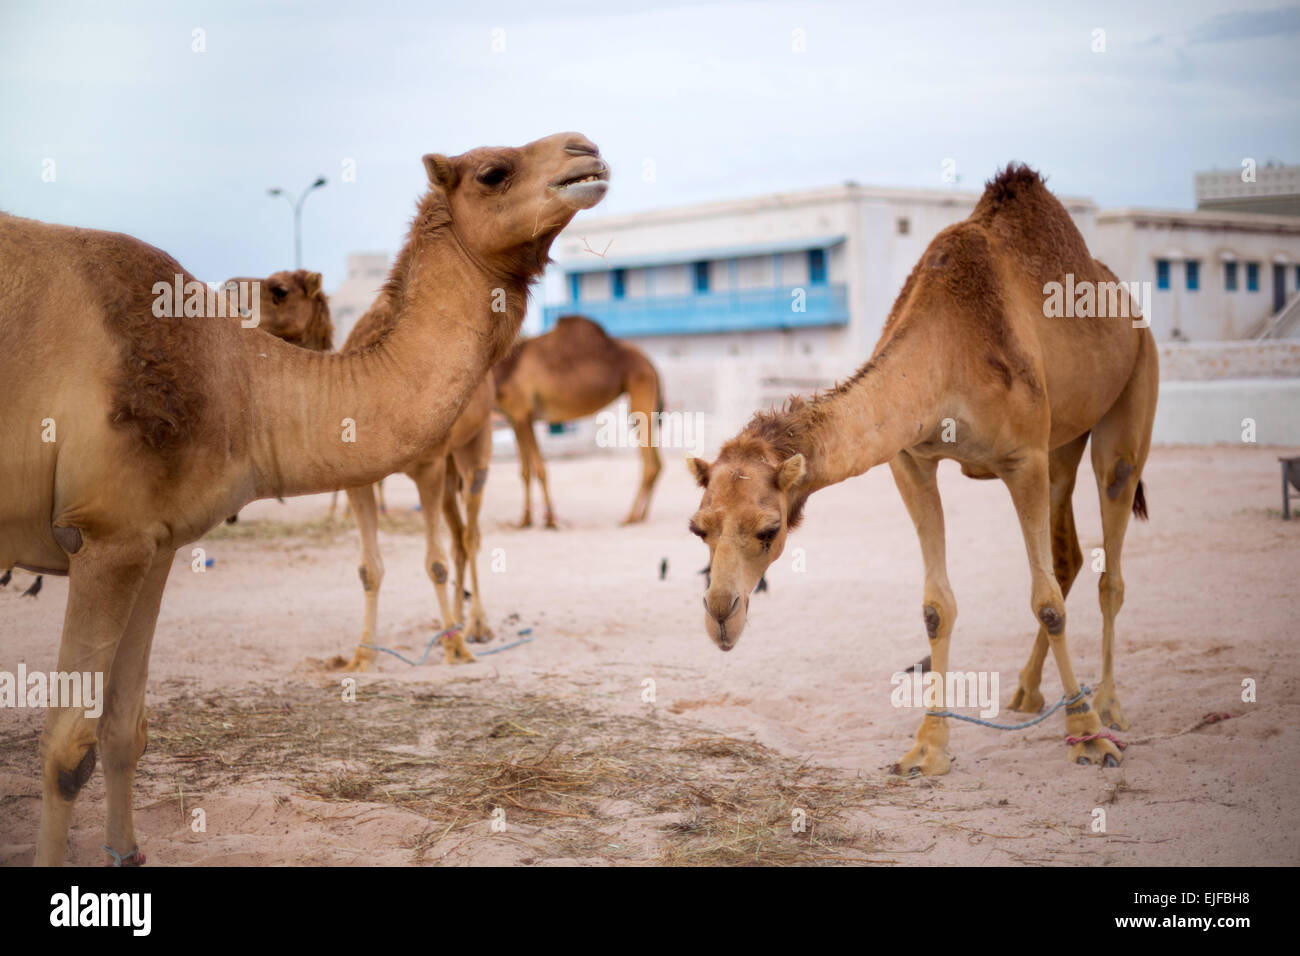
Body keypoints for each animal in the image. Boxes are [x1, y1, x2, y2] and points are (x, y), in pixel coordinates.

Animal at [0, 131, 609, 865]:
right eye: (493, 172)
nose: (586, 149)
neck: (238, 388)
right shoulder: (109, 537)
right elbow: (71, 744)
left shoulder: (148, 543)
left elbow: (125, 727)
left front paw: (127, 854)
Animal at [494, 314, 663, 527]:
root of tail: (650, 364)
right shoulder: (515, 419)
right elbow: (524, 472)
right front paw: (524, 521)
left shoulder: (523, 413)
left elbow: (539, 469)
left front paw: (550, 521)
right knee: (658, 463)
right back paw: (641, 515)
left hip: (640, 388)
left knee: (650, 463)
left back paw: (630, 517)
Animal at [688, 164, 1157, 775]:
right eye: (699, 529)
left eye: (770, 531)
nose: (721, 616)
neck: (951, 348)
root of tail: (1128, 307)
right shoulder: (911, 460)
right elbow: (938, 607)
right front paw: (928, 748)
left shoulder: (1022, 456)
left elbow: (1047, 603)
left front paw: (1087, 736)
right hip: (1063, 444)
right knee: (1067, 555)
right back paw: (1027, 691)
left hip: (1130, 393)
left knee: (1110, 557)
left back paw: (1108, 707)